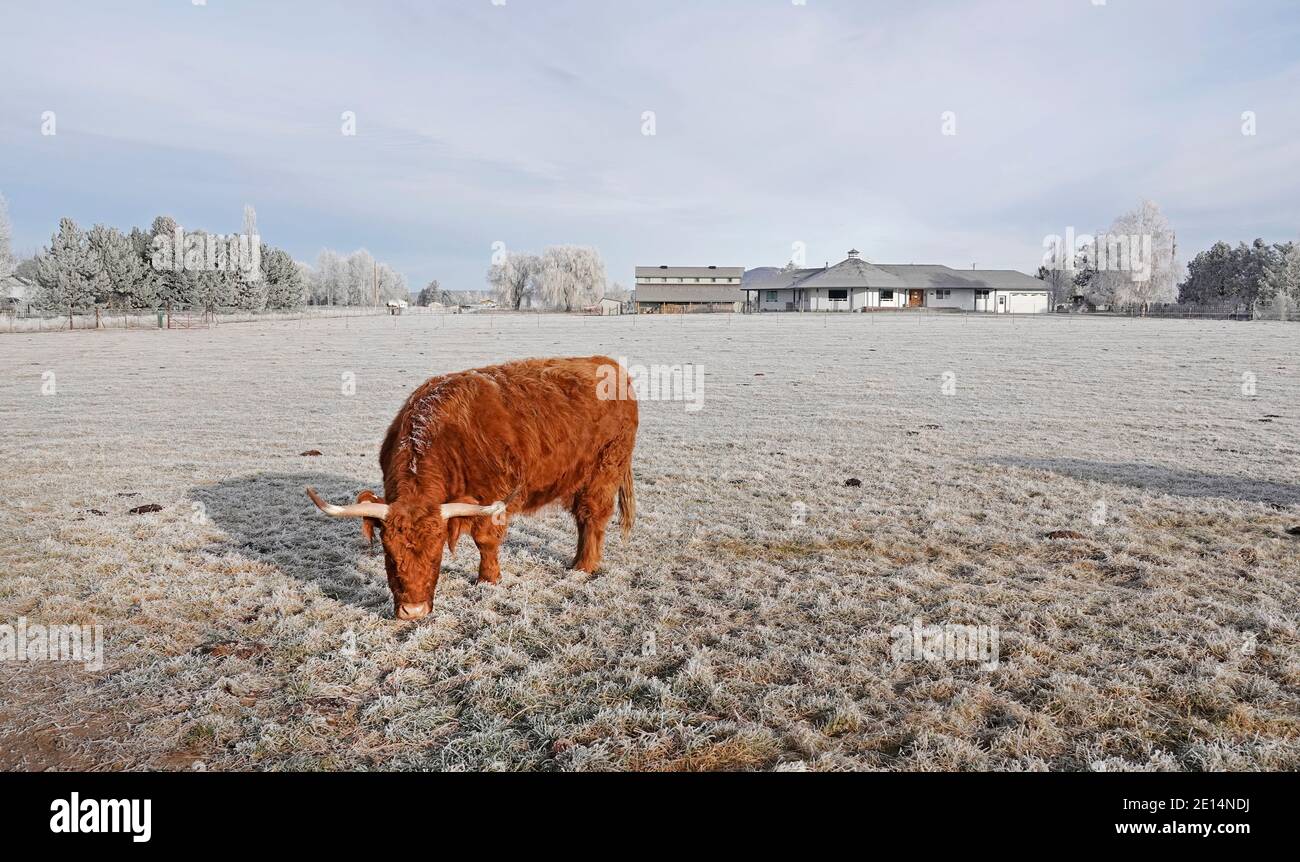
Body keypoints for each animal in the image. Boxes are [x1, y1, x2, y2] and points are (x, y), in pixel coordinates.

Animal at [306, 356, 637, 621]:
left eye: (437, 554)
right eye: (389, 554)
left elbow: (485, 540)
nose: (413, 612)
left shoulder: (492, 500)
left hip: (605, 471)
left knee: (592, 517)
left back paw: (584, 566)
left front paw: (488, 579)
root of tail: (608, 364)